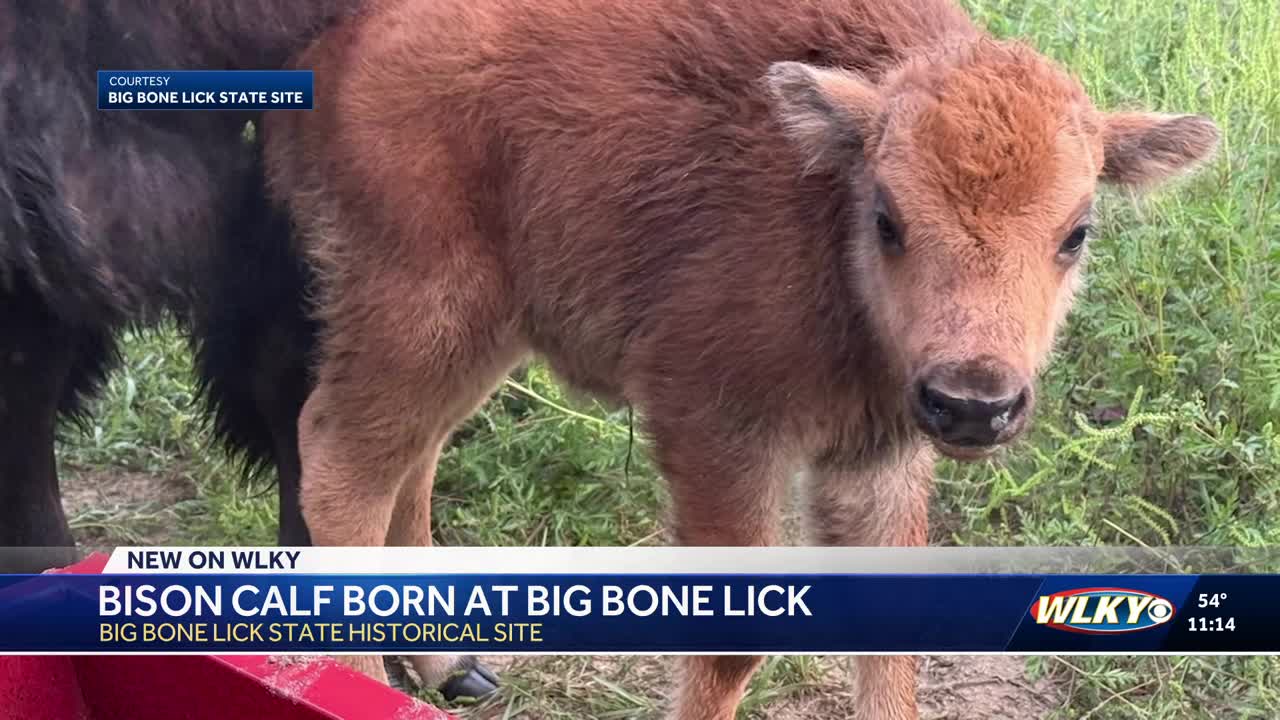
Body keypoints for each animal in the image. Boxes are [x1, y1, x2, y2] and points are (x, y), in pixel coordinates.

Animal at [266, 0, 1219, 716]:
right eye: (887, 217)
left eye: (1077, 231)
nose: (973, 402)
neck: (825, 222)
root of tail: (340, 45)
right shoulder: (721, 432)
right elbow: (730, 643)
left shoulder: (874, 458)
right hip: (422, 313)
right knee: (342, 464)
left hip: (478, 335)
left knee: (410, 458)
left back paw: (446, 668)